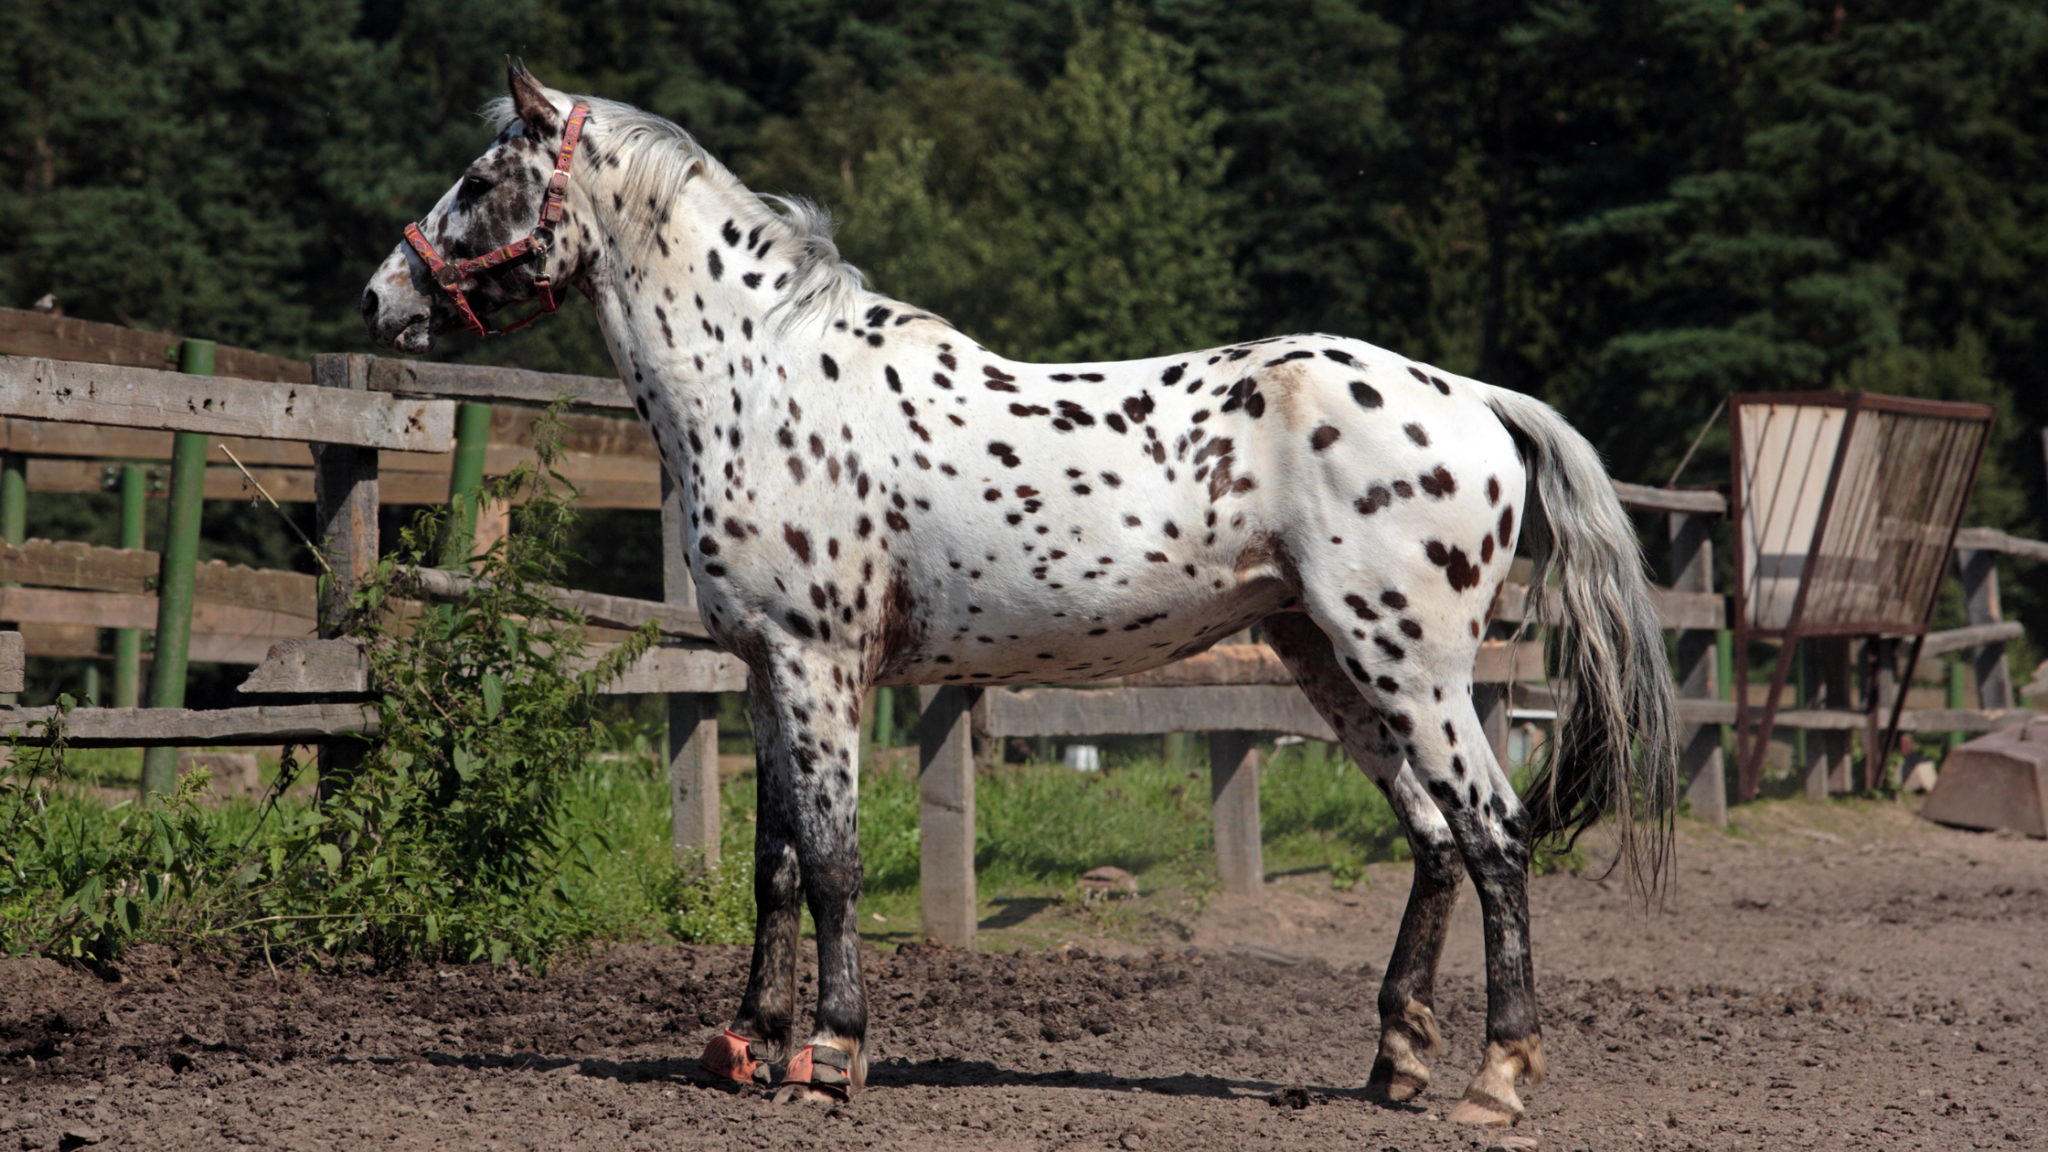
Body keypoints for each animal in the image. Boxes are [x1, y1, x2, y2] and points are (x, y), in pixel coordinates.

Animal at [361, 59, 1677, 1125]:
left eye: (479, 178)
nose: (382, 298)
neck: (767, 379)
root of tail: (1471, 396)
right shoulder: (764, 672)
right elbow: (774, 862)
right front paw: (745, 1045)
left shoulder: (818, 664)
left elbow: (834, 861)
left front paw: (829, 1060)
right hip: (1326, 660)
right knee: (1432, 837)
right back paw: (1392, 1067)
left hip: (1412, 666)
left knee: (1493, 833)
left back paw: (1493, 1082)